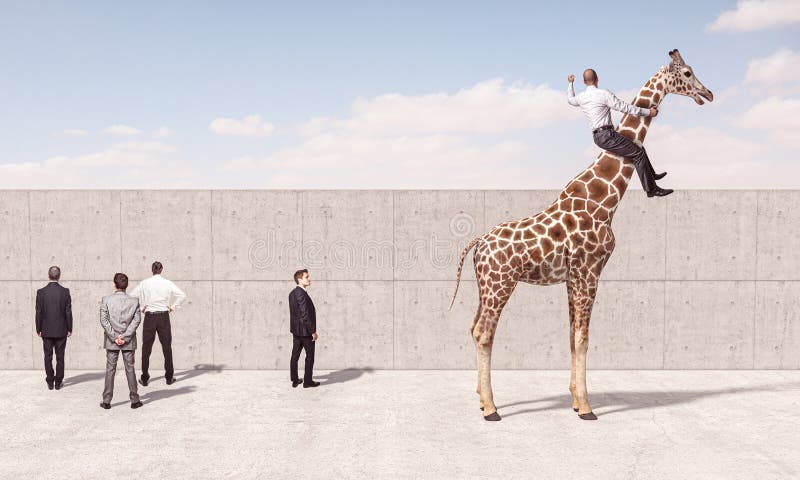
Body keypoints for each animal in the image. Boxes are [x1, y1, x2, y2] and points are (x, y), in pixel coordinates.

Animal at [449, 49, 713, 421]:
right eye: (688, 73)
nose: (708, 94)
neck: (605, 200)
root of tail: (477, 244)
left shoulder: (573, 277)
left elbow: (573, 337)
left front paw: (575, 399)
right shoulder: (590, 270)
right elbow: (584, 338)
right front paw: (587, 408)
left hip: (484, 286)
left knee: (473, 328)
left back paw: (480, 398)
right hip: (501, 283)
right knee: (485, 332)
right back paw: (491, 408)